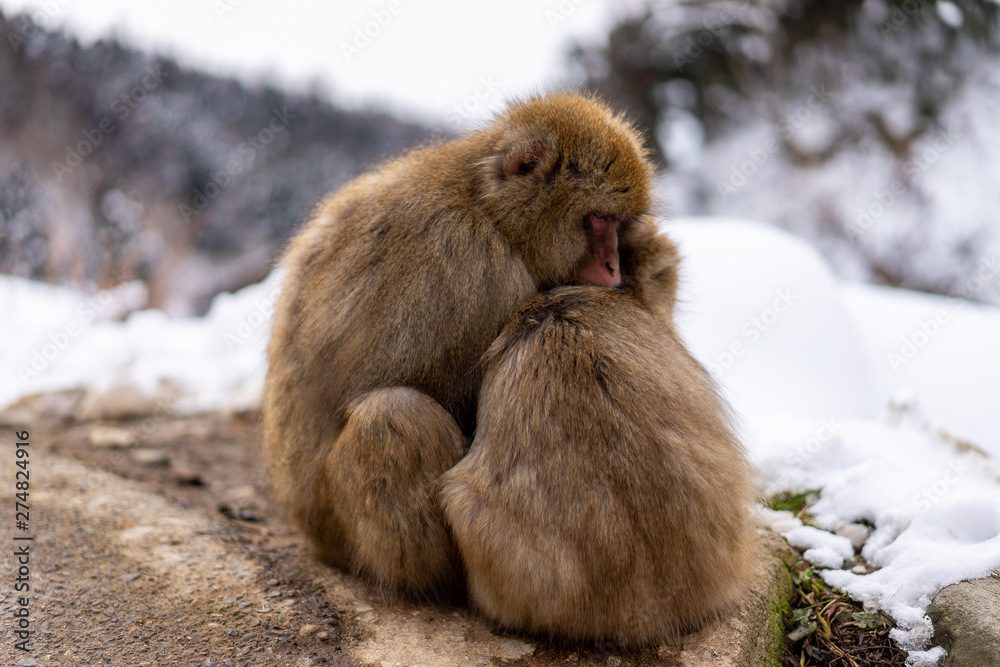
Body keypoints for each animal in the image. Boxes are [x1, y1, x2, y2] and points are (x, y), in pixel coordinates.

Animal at [262, 92, 673, 597]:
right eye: (599, 219)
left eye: (616, 224)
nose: (614, 266)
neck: (486, 208)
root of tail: (307, 527)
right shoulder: (480, 272)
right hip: (340, 529)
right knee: (395, 417)